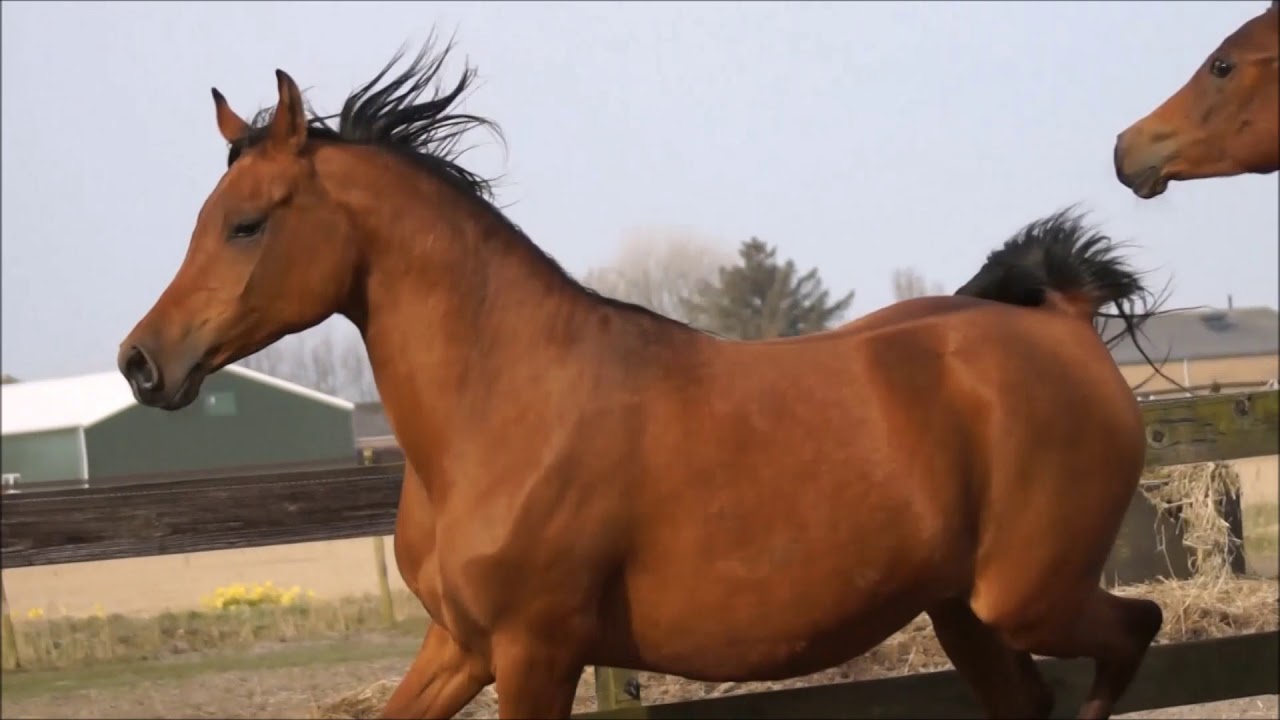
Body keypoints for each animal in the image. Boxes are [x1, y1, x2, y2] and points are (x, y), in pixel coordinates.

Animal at [119, 41, 1164, 720]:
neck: (502, 409)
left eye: (247, 223)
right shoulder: (460, 645)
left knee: (1136, 629)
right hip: (964, 613)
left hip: (1026, 594)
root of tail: (1066, 322)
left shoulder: (534, 652)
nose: (141, 361)